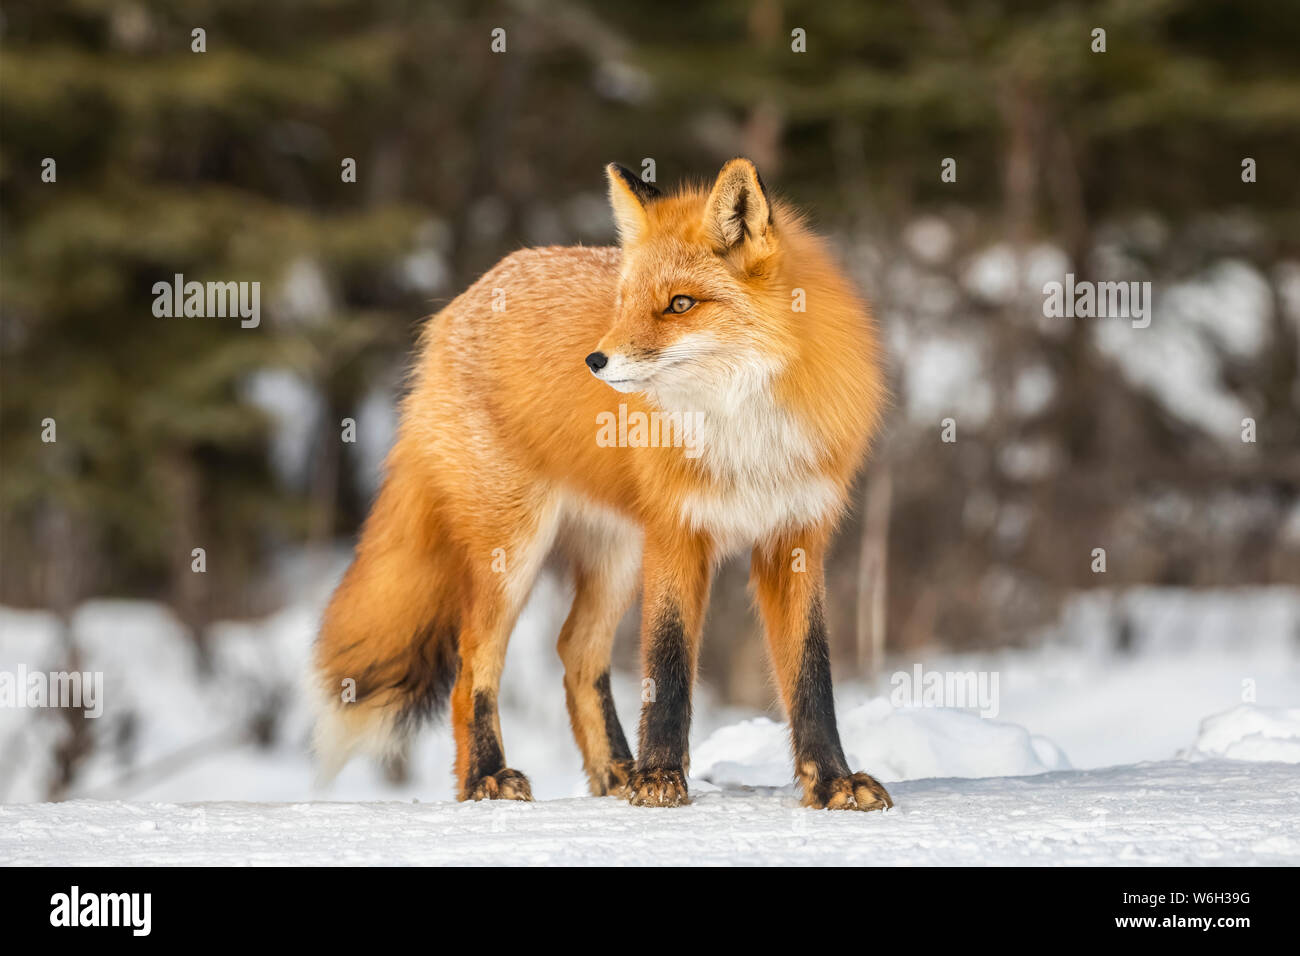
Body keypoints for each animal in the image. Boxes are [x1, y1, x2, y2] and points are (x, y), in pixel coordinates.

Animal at [312, 158, 893, 811]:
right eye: (624, 303)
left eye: (680, 304)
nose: (594, 361)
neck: (742, 435)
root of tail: (463, 299)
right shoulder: (676, 531)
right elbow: (667, 663)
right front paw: (661, 777)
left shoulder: (795, 537)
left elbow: (811, 675)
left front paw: (833, 782)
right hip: (513, 550)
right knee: (472, 664)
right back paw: (487, 777)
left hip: (616, 554)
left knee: (575, 651)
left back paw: (614, 770)